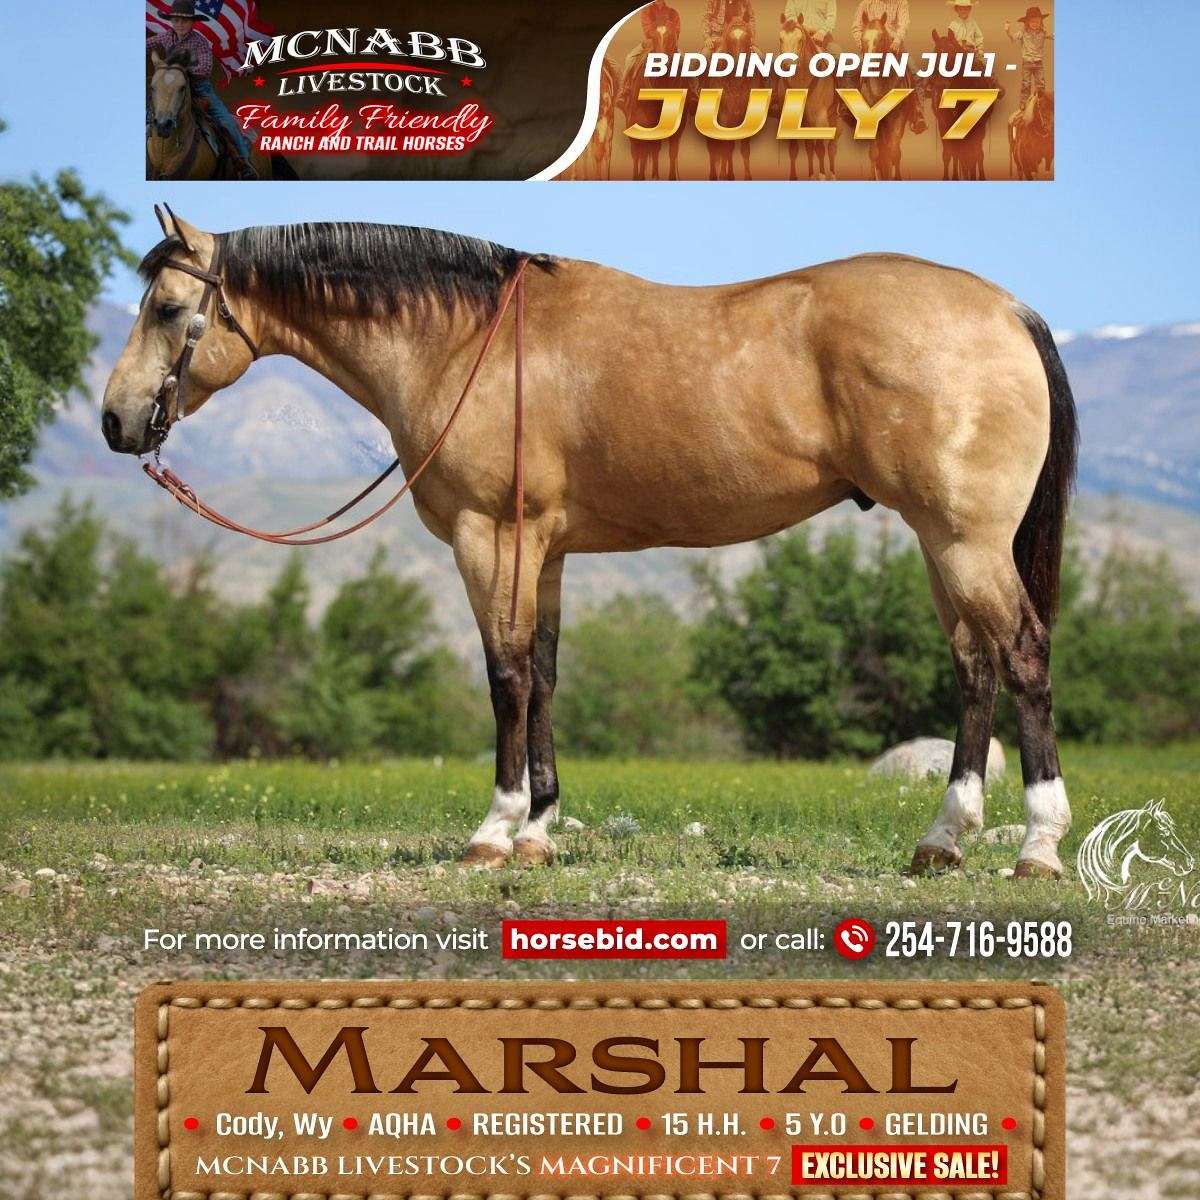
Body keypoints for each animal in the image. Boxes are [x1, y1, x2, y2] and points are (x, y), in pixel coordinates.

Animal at [103, 211, 1080, 880]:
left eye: (168, 308)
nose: (116, 420)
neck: (462, 341)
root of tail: (1010, 309)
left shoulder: (490, 537)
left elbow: (504, 677)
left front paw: (495, 831)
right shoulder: (548, 551)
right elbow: (543, 675)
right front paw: (538, 830)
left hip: (964, 540)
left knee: (1025, 655)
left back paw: (1037, 844)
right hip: (941, 543)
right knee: (975, 667)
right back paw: (943, 839)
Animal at [773, 22, 839, 181]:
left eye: (800, 40)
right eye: (780, 39)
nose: (786, 65)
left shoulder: (820, 119)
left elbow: (820, 149)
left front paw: (822, 175)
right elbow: (794, 149)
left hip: (833, 118)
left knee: (831, 147)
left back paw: (832, 174)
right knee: (809, 147)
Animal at [928, 29, 1000, 180]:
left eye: (952, 53)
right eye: (934, 54)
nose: (940, 84)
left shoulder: (978, 127)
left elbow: (975, 153)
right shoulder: (944, 124)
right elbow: (949, 154)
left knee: (976, 153)